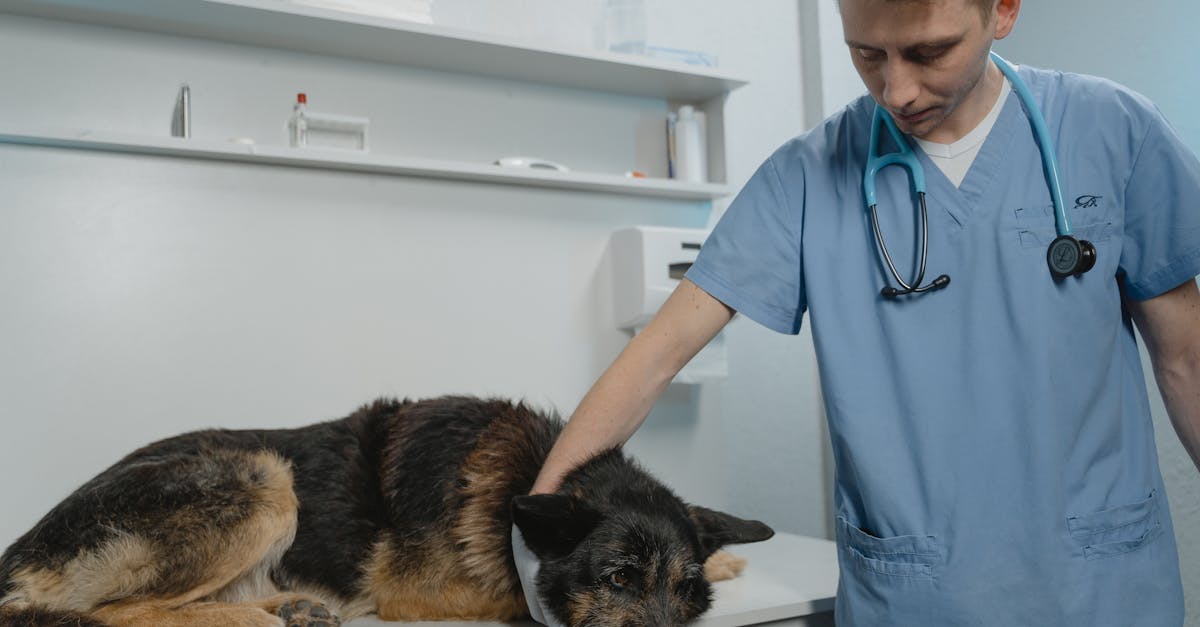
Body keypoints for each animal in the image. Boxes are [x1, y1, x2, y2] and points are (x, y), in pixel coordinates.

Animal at [0, 393, 772, 619]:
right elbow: (515, 602)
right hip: (262, 474)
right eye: (617, 579)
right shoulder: (414, 593)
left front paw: (728, 558)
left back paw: (290, 607)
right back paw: (262, 616)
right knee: (115, 611)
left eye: (687, 593)